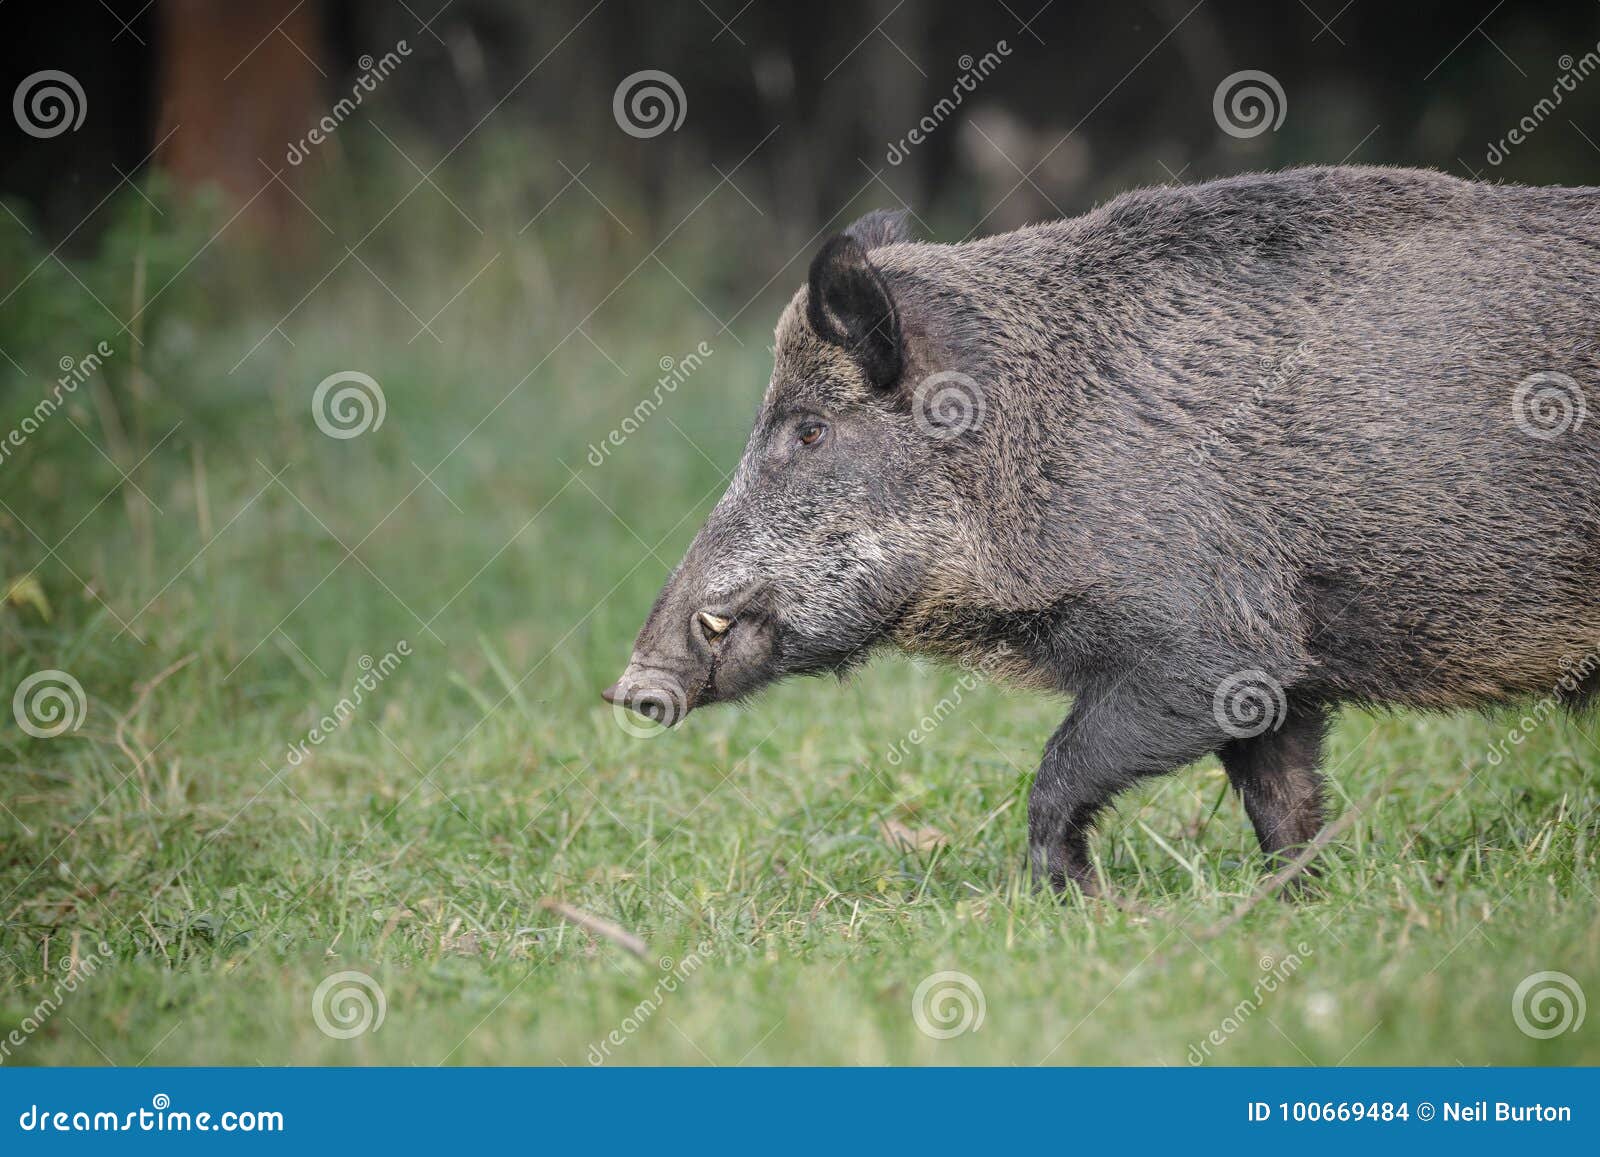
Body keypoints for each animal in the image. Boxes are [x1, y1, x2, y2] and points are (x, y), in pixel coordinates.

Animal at [603, 166, 1600, 894]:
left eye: (809, 431)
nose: (630, 686)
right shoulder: (1276, 672)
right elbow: (1283, 802)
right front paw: (1295, 903)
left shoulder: (1209, 644)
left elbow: (1060, 770)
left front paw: (1081, 900)